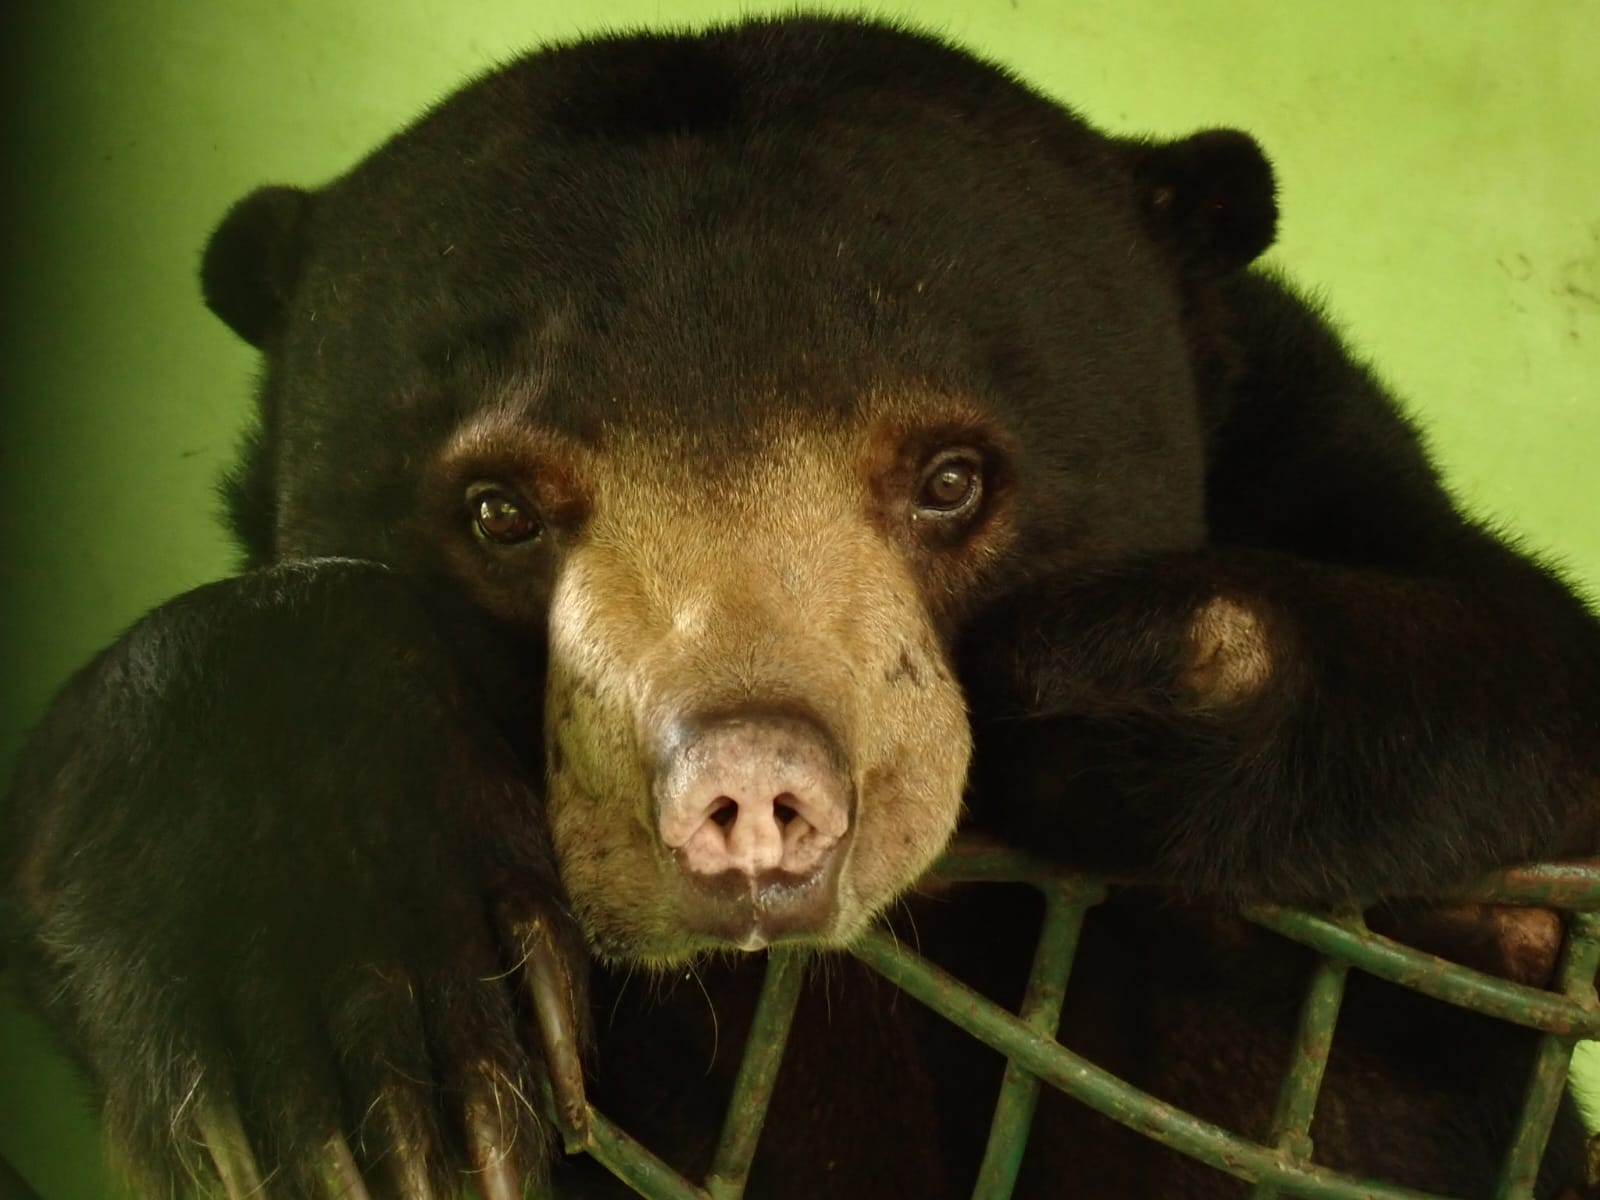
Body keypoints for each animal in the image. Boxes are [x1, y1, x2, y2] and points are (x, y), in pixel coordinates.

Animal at [4, 12, 1600, 1199]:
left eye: (952, 477)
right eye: (499, 509)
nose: (755, 793)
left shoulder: (1333, 453)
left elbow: (1522, 693)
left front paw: (1112, 689)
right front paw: (354, 1065)